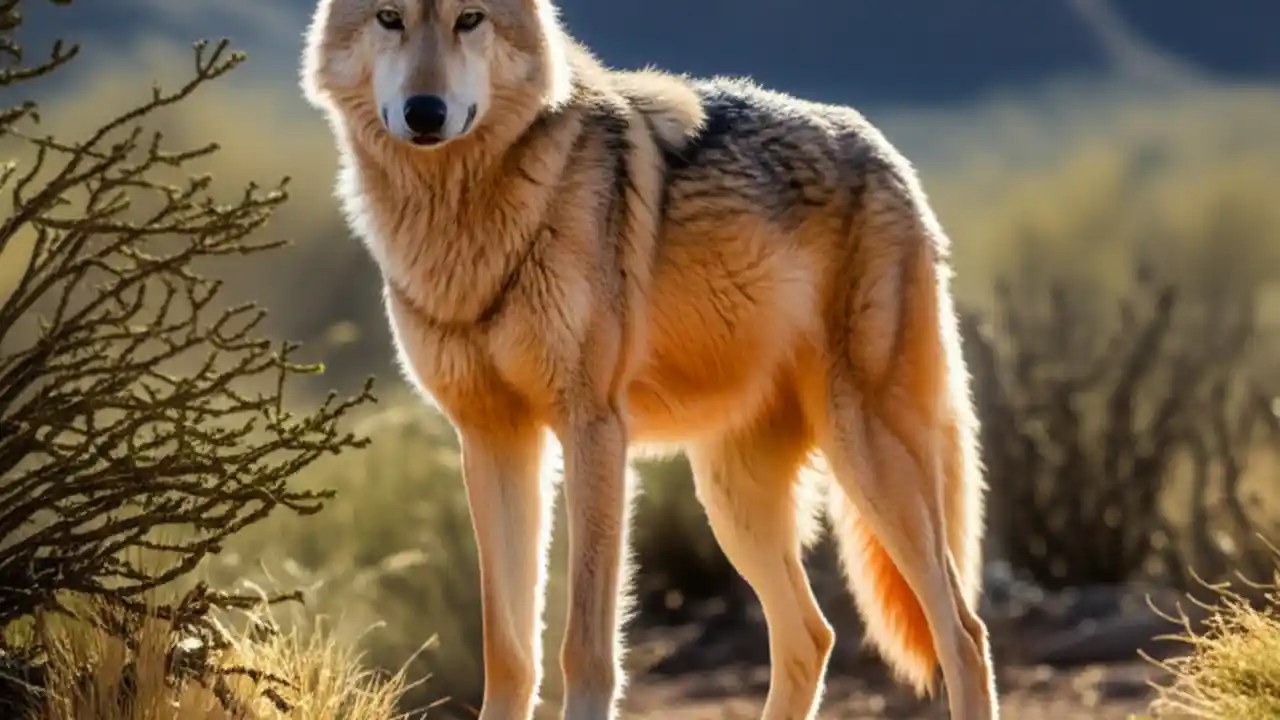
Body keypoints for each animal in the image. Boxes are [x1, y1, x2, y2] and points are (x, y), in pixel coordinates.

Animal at [302, 1, 998, 718]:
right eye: (389, 17)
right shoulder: (494, 440)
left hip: (868, 461)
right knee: (812, 638)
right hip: (733, 498)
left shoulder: (594, 432)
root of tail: (890, 157)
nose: (425, 112)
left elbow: (584, 647)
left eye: (471, 18)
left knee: (963, 635)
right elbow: (509, 652)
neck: (466, 223)